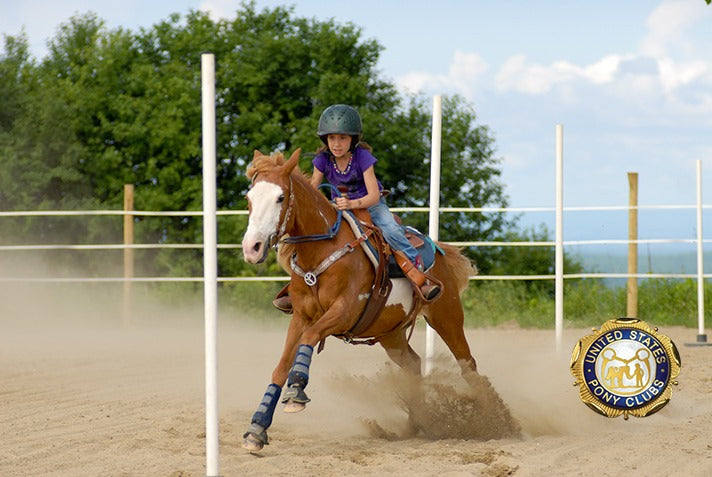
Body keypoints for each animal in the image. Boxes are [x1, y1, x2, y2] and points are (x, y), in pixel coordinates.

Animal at [240, 148, 479, 451]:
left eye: (280, 197)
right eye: (249, 198)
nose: (252, 248)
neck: (321, 250)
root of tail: (438, 249)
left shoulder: (344, 312)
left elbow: (310, 338)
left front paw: (296, 391)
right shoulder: (301, 317)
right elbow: (280, 367)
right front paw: (257, 428)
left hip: (446, 316)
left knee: (468, 364)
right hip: (392, 335)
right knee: (413, 364)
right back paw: (417, 423)